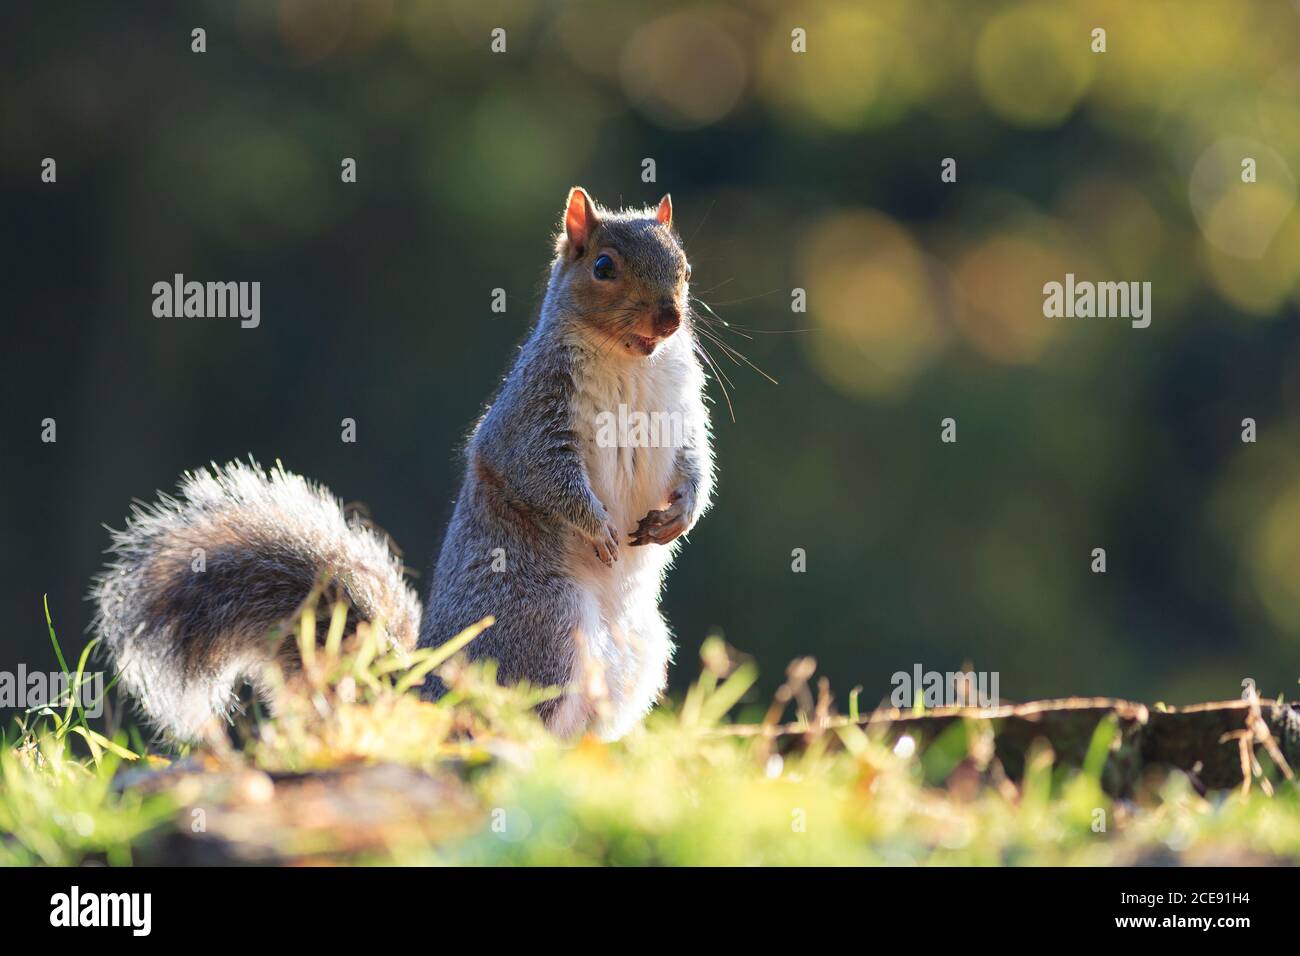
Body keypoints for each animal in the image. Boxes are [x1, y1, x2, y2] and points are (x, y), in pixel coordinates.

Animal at [91, 187, 714, 744]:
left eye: (685, 268)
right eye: (604, 266)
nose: (669, 318)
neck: (630, 361)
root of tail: (420, 692)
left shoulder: (681, 412)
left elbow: (695, 462)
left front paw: (680, 514)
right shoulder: (532, 418)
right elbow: (542, 476)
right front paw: (598, 526)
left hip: (641, 653)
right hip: (544, 630)